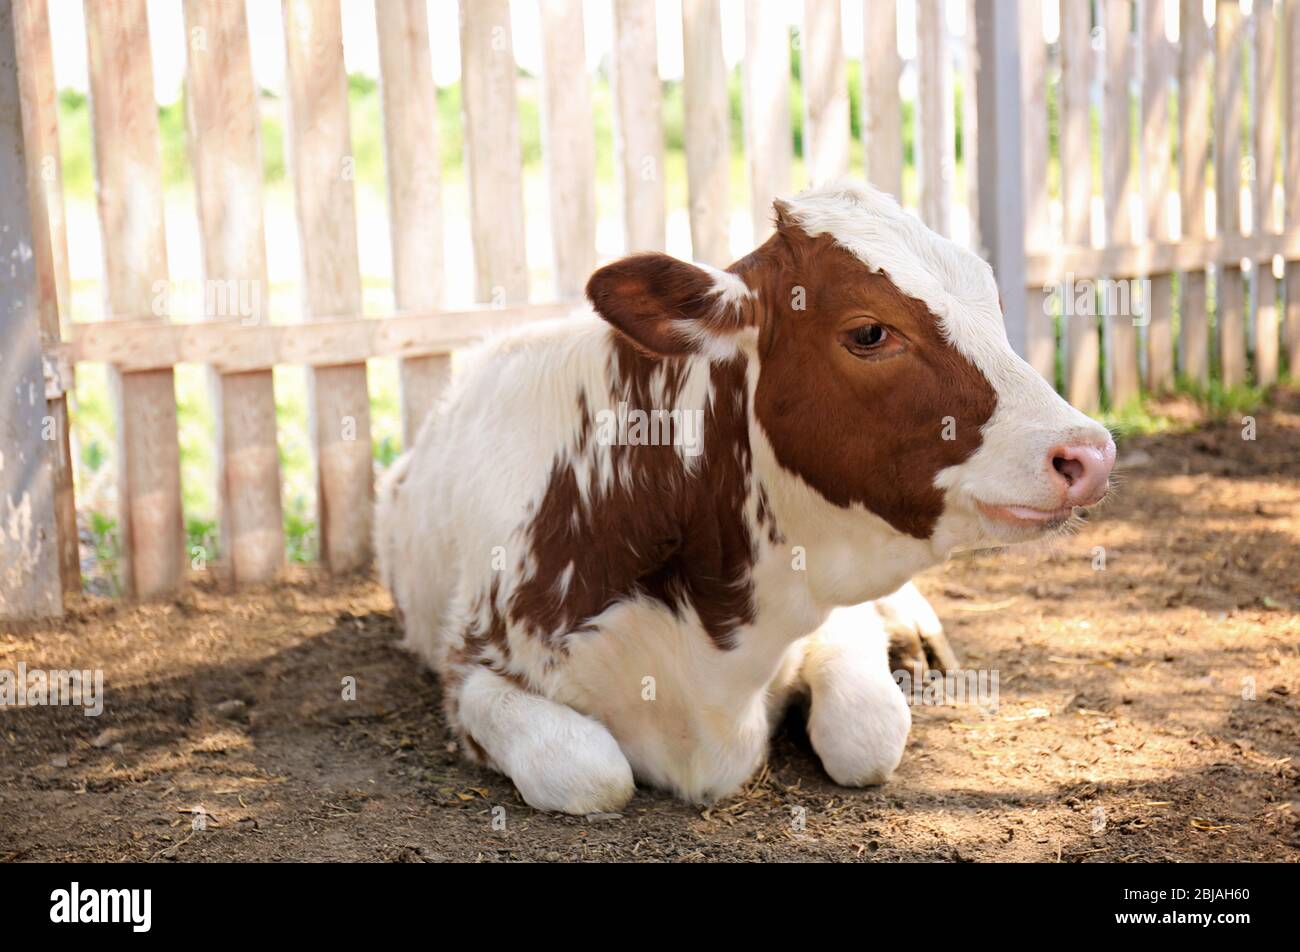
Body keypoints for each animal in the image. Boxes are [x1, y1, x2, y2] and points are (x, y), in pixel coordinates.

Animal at [376, 181, 1115, 814]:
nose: (1088, 452)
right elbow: (591, 771)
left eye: (993, 305)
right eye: (869, 332)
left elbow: (866, 734)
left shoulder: (827, 612)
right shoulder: (472, 672)